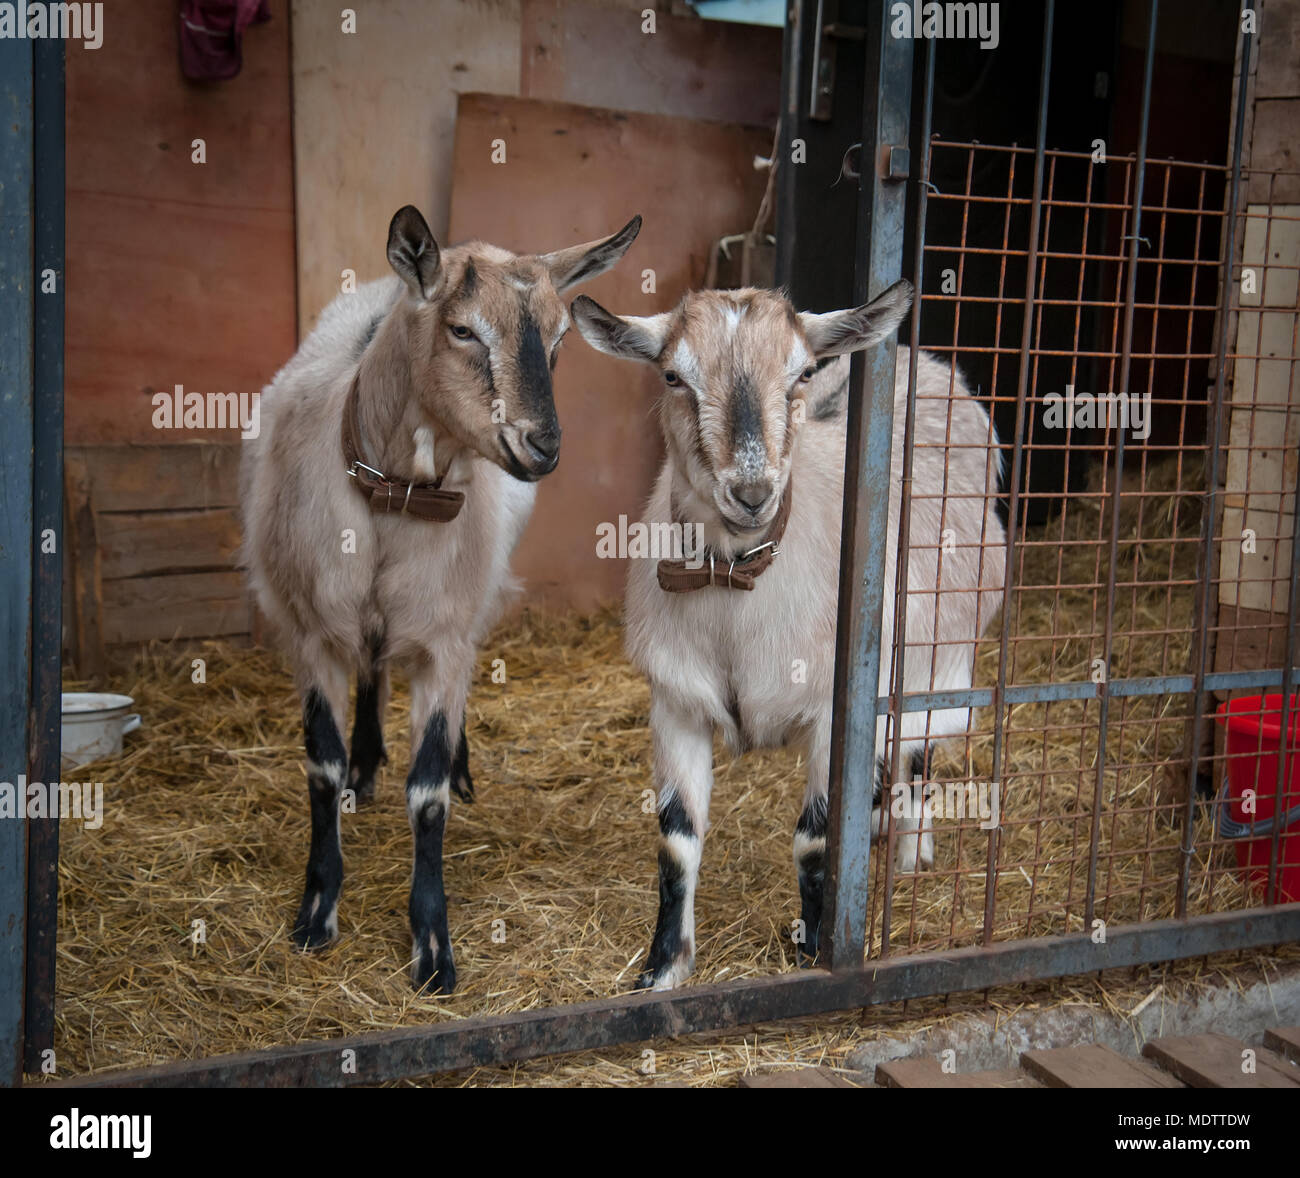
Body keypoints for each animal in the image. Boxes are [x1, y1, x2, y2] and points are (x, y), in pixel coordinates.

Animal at [242, 205, 640, 992]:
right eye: (462, 331)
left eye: (558, 341)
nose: (542, 446)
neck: (391, 498)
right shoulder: (313, 633)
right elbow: (319, 766)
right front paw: (315, 914)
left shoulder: (443, 640)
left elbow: (425, 794)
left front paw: (432, 948)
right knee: (371, 669)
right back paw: (364, 770)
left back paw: (457, 766)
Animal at [572, 279, 1005, 989]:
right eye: (672, 376)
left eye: (802, 372)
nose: (752, 493)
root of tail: (918, 358)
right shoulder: (675, 702)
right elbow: (676, 840)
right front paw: (663, 969)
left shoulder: (837, 707)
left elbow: (813, 839)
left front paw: (813, 950)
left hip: (940, 660)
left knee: (918, 750)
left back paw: (910, 849)